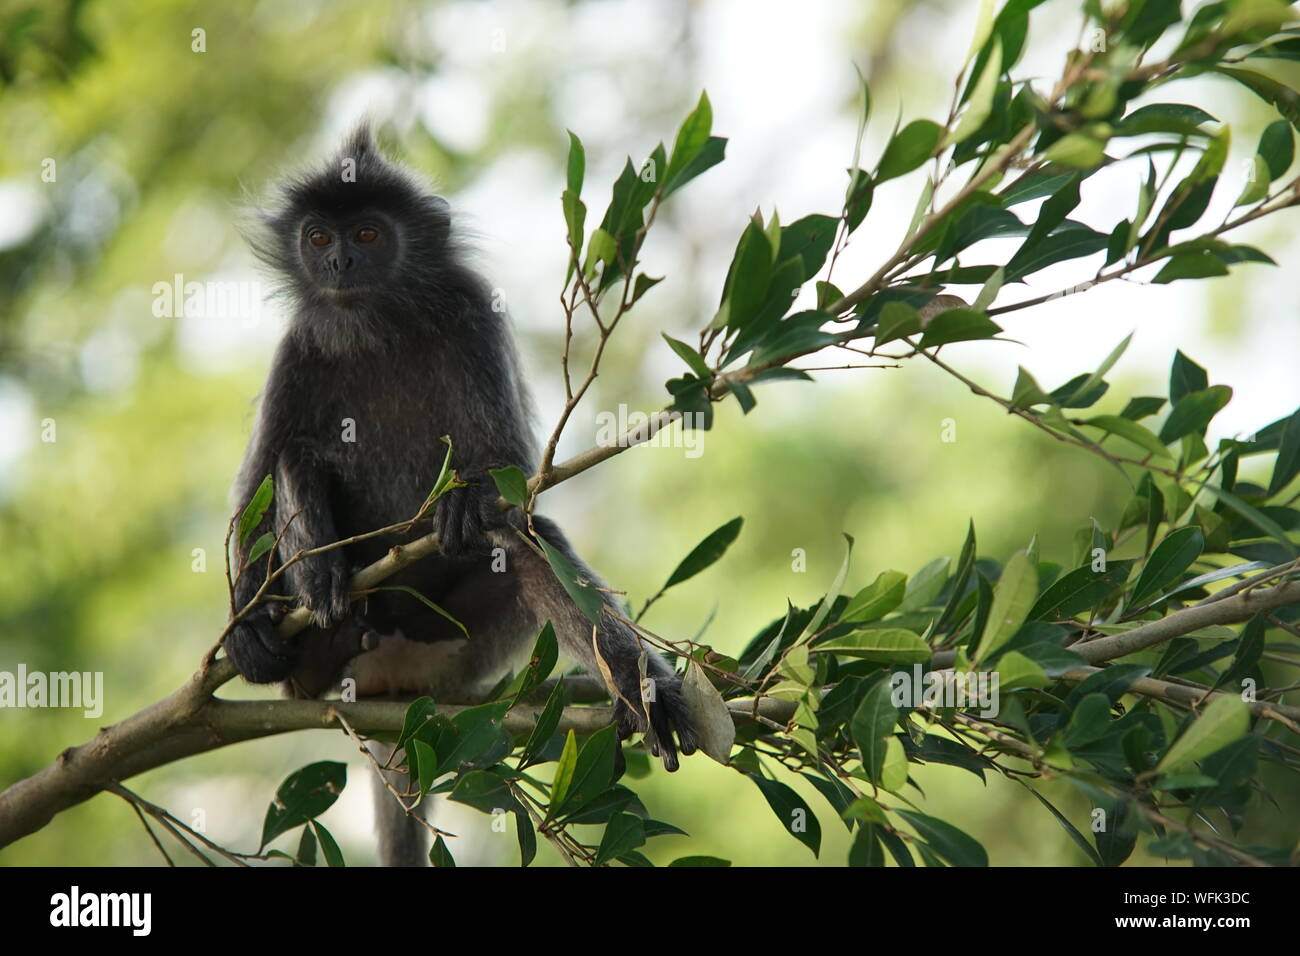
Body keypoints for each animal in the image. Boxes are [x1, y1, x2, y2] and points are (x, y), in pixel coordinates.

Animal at [223, 125, 697, 864]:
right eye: (318, 238)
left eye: (367, 234)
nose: (338, 265)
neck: (376, 325)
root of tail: (393, 693)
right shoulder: (297, 348)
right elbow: (254, 483)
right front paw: (245, 626)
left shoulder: (474, 312)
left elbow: (512, 479)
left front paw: (466, 500)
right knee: (295, 456)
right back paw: (323, 598)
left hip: (457, 648)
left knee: (522, 542)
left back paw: (640, 692)